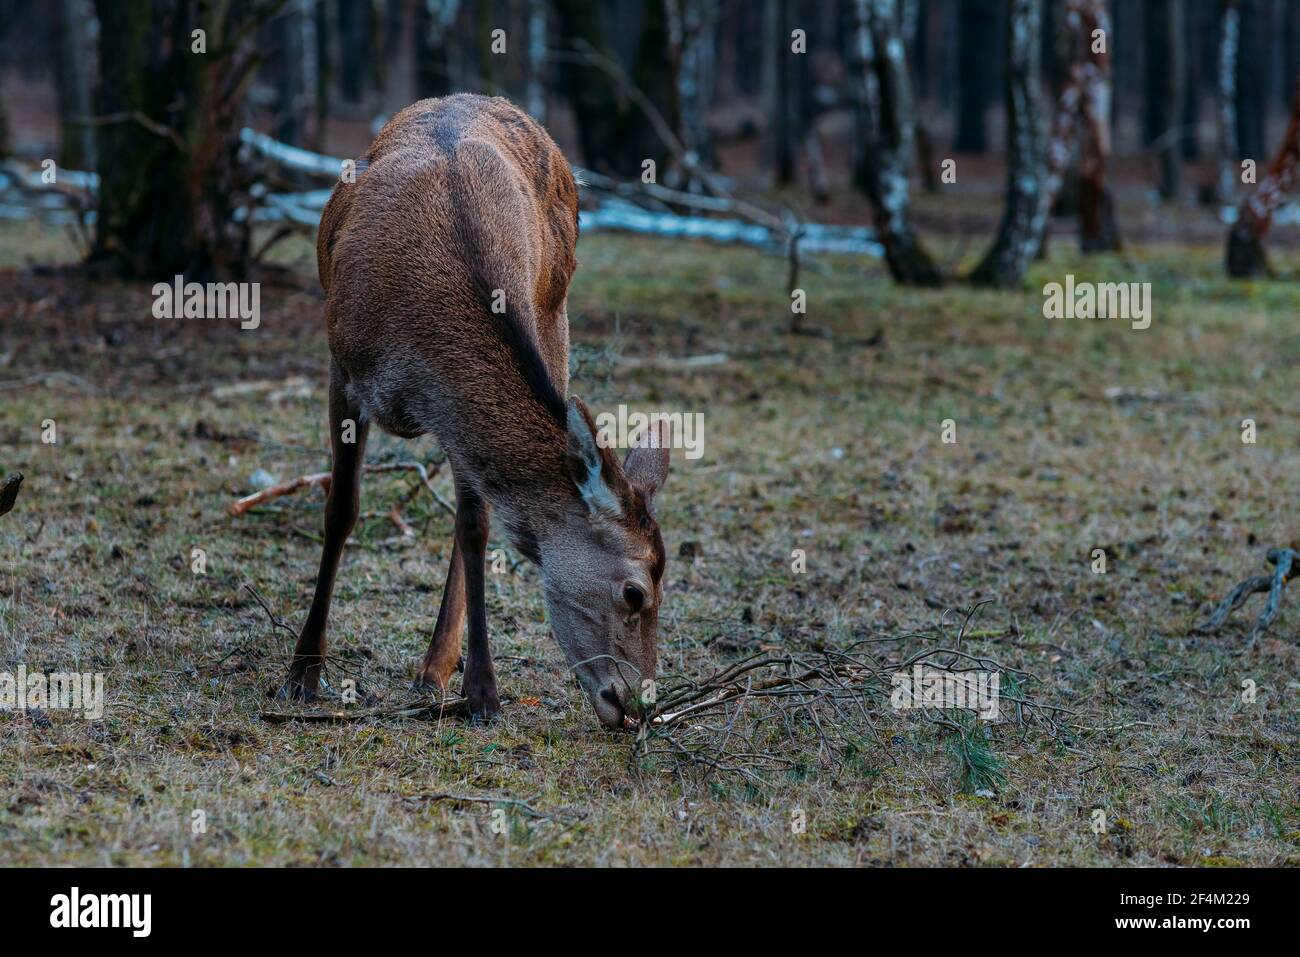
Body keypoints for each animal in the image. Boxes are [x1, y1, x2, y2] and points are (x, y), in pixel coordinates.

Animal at [273, 94, 671, 730]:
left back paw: (437, 669)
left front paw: (482, 689)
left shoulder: (454, 413)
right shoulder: (343, 367)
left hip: (555, 314)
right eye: (636, 592)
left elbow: (474, 528)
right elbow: (341, 510)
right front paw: (303, 671)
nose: (636, 706)